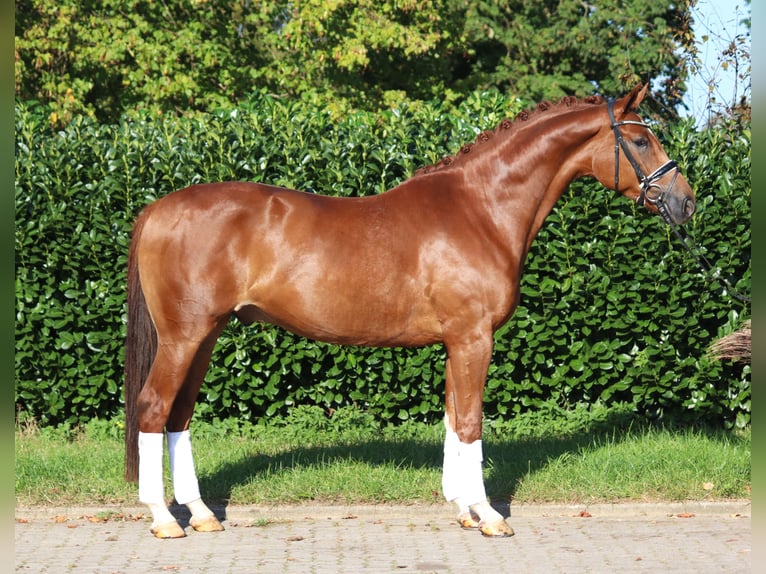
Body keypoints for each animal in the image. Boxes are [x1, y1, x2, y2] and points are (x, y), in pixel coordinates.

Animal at [124, 84, 696, 539]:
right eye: (641, 141)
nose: (685, 203)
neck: (480, 208)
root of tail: (156, 209)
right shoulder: (473, 338)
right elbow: (470, 423)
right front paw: (489, 515)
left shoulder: (456, 343)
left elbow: (452, 420)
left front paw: (463, 509)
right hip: (185, 337)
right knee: (153, 408)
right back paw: (164, 519)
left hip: (205, 336)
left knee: (179, 415)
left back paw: (200, 513)